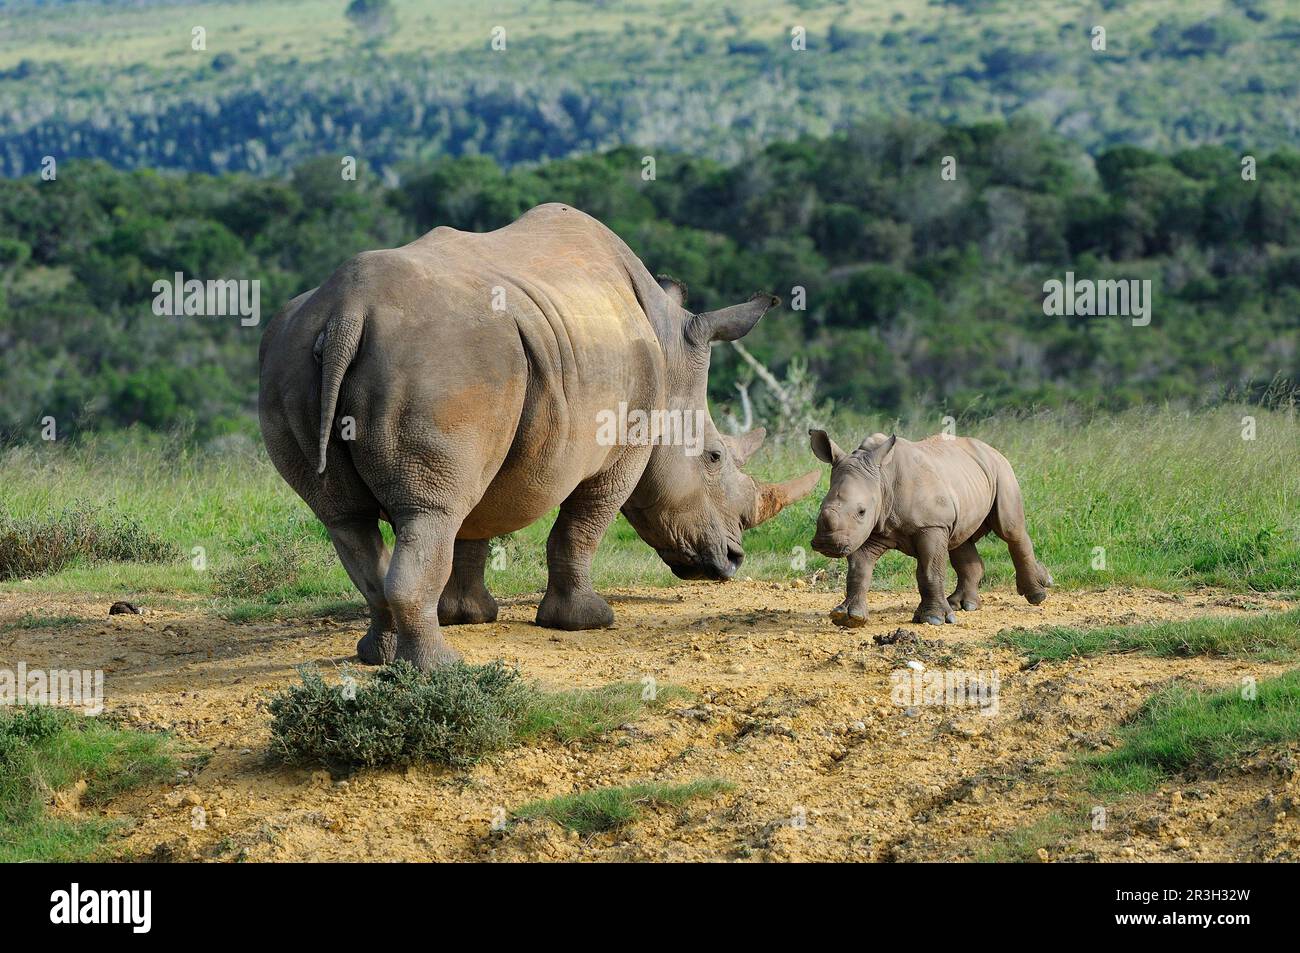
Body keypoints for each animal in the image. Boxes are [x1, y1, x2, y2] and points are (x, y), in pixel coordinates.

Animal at [259, 203, 819, 670]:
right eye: (715, 457)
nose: (732, 561)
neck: (668, 346)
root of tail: (346, 312)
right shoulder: (624, 446)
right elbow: (581, 526)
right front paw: (588, 621)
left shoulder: (489, 441)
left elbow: (473, 527)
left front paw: (468, 614)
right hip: (443, 358)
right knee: (429, 512)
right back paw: (439, 669)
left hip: (295, 349)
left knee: (348, 518)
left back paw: (379, 656)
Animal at [808, 430, 1052, 627]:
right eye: (821, 507)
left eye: (861, 511)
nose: (827, 544)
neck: (883, 478)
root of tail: (991, 448)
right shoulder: (869, 529)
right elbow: (859, 569)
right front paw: (848, 617)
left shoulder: (931, 525)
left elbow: (929, 571)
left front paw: (933, 619)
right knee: (961, 540)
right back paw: (963, 605)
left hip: (1002, 470)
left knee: (1011, 530)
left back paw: (1037, 596)